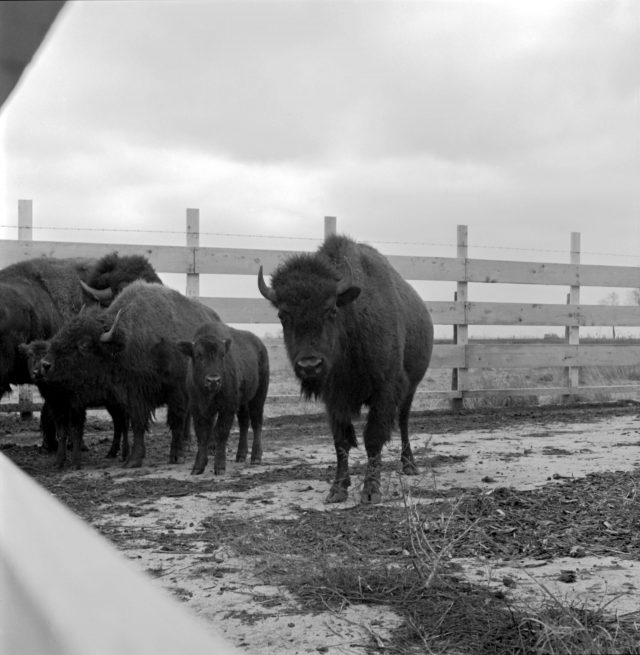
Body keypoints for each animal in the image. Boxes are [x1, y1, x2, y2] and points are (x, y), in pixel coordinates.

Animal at [40, 281, 221, 469]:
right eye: (64, 332)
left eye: (84, 345)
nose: (46, 364)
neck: (128, 340)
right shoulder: (134, 395)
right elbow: (138, 424)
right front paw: (133, 459)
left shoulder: (176, 392)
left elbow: (175, 421)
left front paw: (177, 456)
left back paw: (210, 446)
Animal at [178, 321, 269, 475]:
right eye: (198, 355)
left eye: (222, 355)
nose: (213, 380)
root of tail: (260, 345)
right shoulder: (197, 409)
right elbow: (202, 434)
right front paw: (198, 467)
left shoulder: (227, 408)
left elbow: (220, 432)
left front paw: (219, 467)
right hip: (242, 403)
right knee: (244, 423)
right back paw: (240, 455)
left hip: (258, 397)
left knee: (257, 423)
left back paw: (256, 457)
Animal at [258, 234, 433, 504]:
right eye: (282, 315)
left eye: (331, 310)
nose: (310, 365)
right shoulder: (334, 398)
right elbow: (341, 440)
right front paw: (338, 489)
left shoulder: (385, 389)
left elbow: (373, 438)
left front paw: (371, 491)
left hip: (410, 389)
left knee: (403, 422)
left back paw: (409, 465)